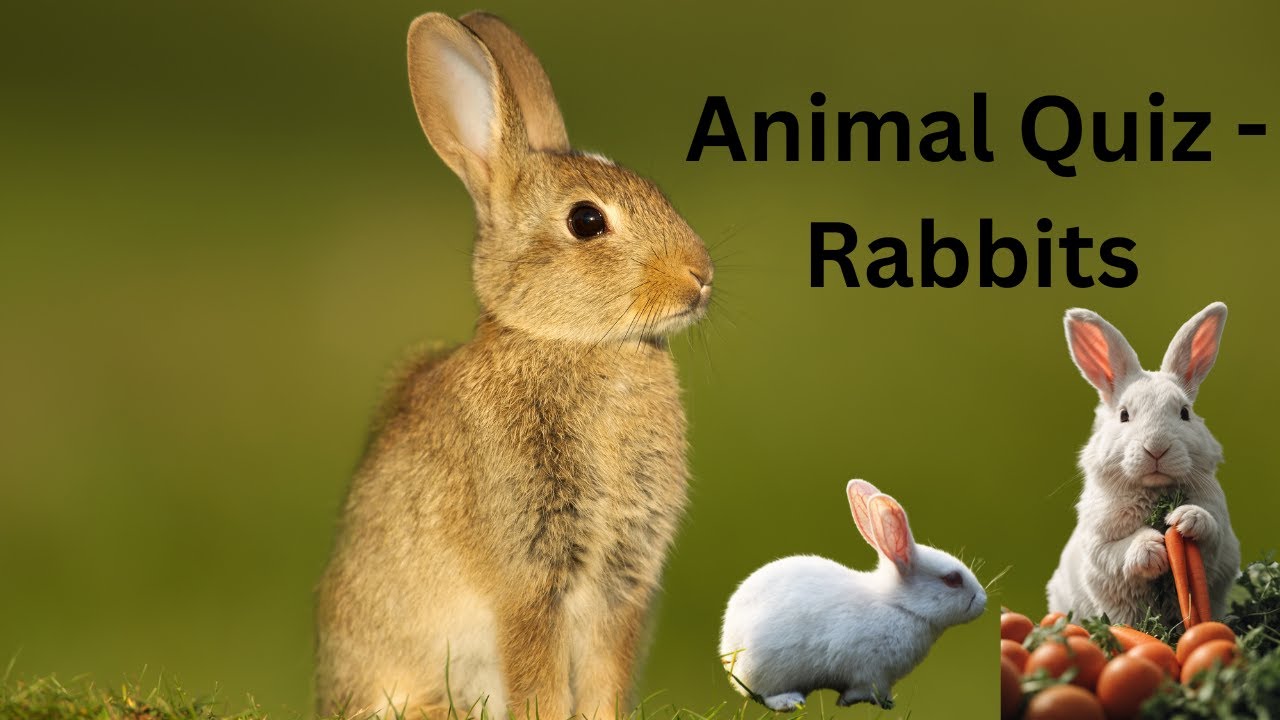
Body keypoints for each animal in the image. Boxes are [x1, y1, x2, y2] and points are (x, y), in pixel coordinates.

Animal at [314, 11, 714, 720]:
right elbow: (538, 673)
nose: (701, 276)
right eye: (586, 221)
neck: (575, 342)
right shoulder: (527, 572)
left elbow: (605, 672)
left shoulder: (623, 579)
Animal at [719, 480, 986, 712]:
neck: (899, 605)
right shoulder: (872, 672)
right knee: (763, 694)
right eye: (952, 579)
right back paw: (789, 701)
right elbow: (866, 689)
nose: (983, 600)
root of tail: (728, 645)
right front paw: (870, 703)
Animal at [1046, 302, 1241, 628]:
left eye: (1185, 412)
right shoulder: (1099, 547)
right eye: (1124, 415)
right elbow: (1119, 551)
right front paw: (1152, 547)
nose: (1156, 448)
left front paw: (1186, 519)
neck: (1153, 491)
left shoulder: (1220, 533)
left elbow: (1209, 527)